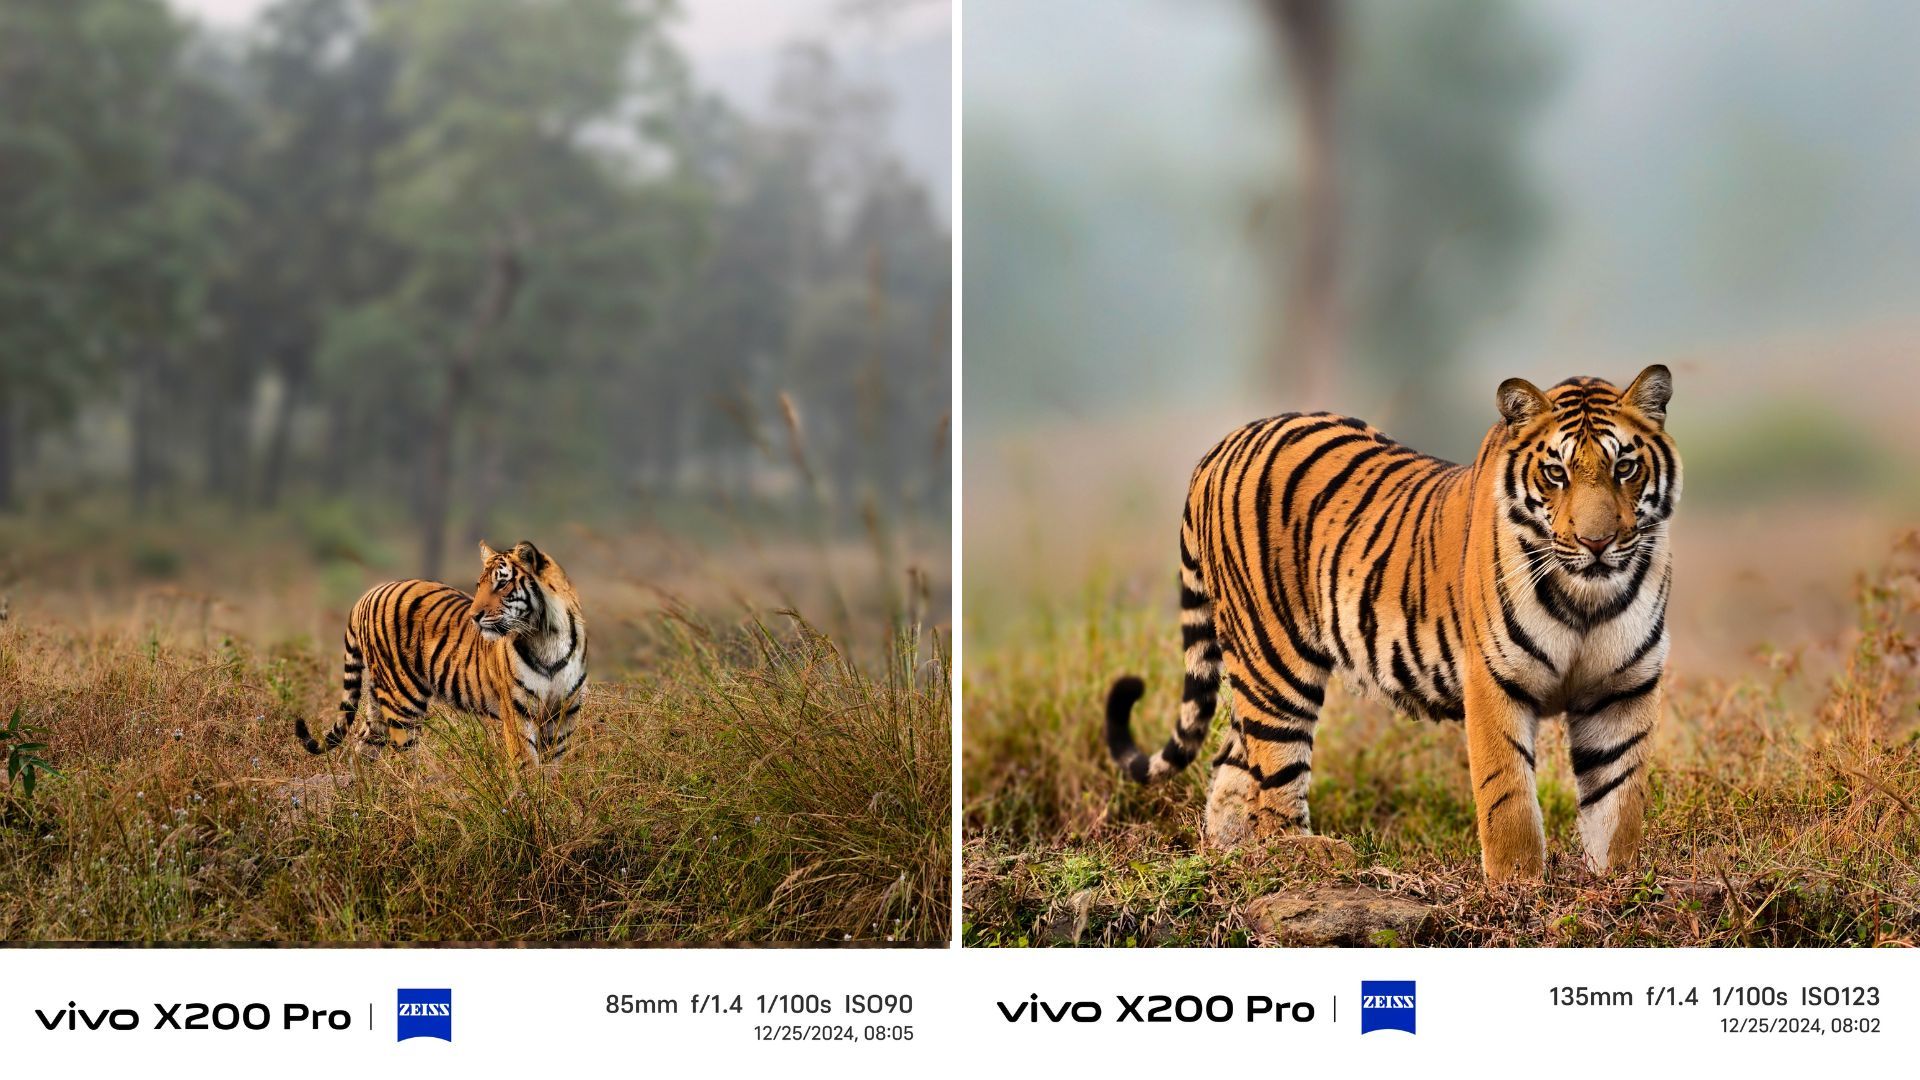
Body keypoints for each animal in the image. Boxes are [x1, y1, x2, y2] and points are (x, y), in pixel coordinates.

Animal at [294, 540, 589, 765]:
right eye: (479, 585)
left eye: (502, 584)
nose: (474, 616)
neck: (546, 638)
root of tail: (367, 595)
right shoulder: (518, 713)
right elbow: (528, 766)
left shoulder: (565, 713)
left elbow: (553, 769)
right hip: (402, 701)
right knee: (405, 764)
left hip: (378, 699)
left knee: (362, 748)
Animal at [1105, 366, 1678, 881]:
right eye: (1556, 473)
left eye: (1625, 468)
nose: (1596, 543)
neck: (1589, 598)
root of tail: (1221, 445)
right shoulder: (1495, 681)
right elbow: (1509, 795)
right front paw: (1518, 887)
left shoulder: (1623, 688)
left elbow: (1618, 800)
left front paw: (1619, 882)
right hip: (1274, 661)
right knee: (1274, 779)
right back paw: (1309, 855)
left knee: (1232, 765)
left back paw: (1233, 857)